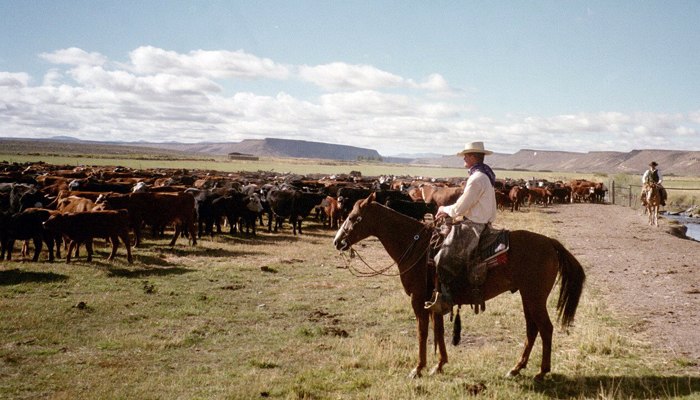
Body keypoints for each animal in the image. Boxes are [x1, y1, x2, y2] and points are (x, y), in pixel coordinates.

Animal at [333, 193, 586, 380]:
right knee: (532, 329)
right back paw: (516, 368)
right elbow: (439, 330)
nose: (337, 241)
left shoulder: (418, 299)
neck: (417, 248)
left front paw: (418, 368)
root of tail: (550, 243)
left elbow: (423, 332)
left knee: (545, 328)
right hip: (527, 296)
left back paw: (541, 372)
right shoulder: (434, 300)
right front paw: (439, 365)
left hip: (534, 297)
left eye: (354, 217)